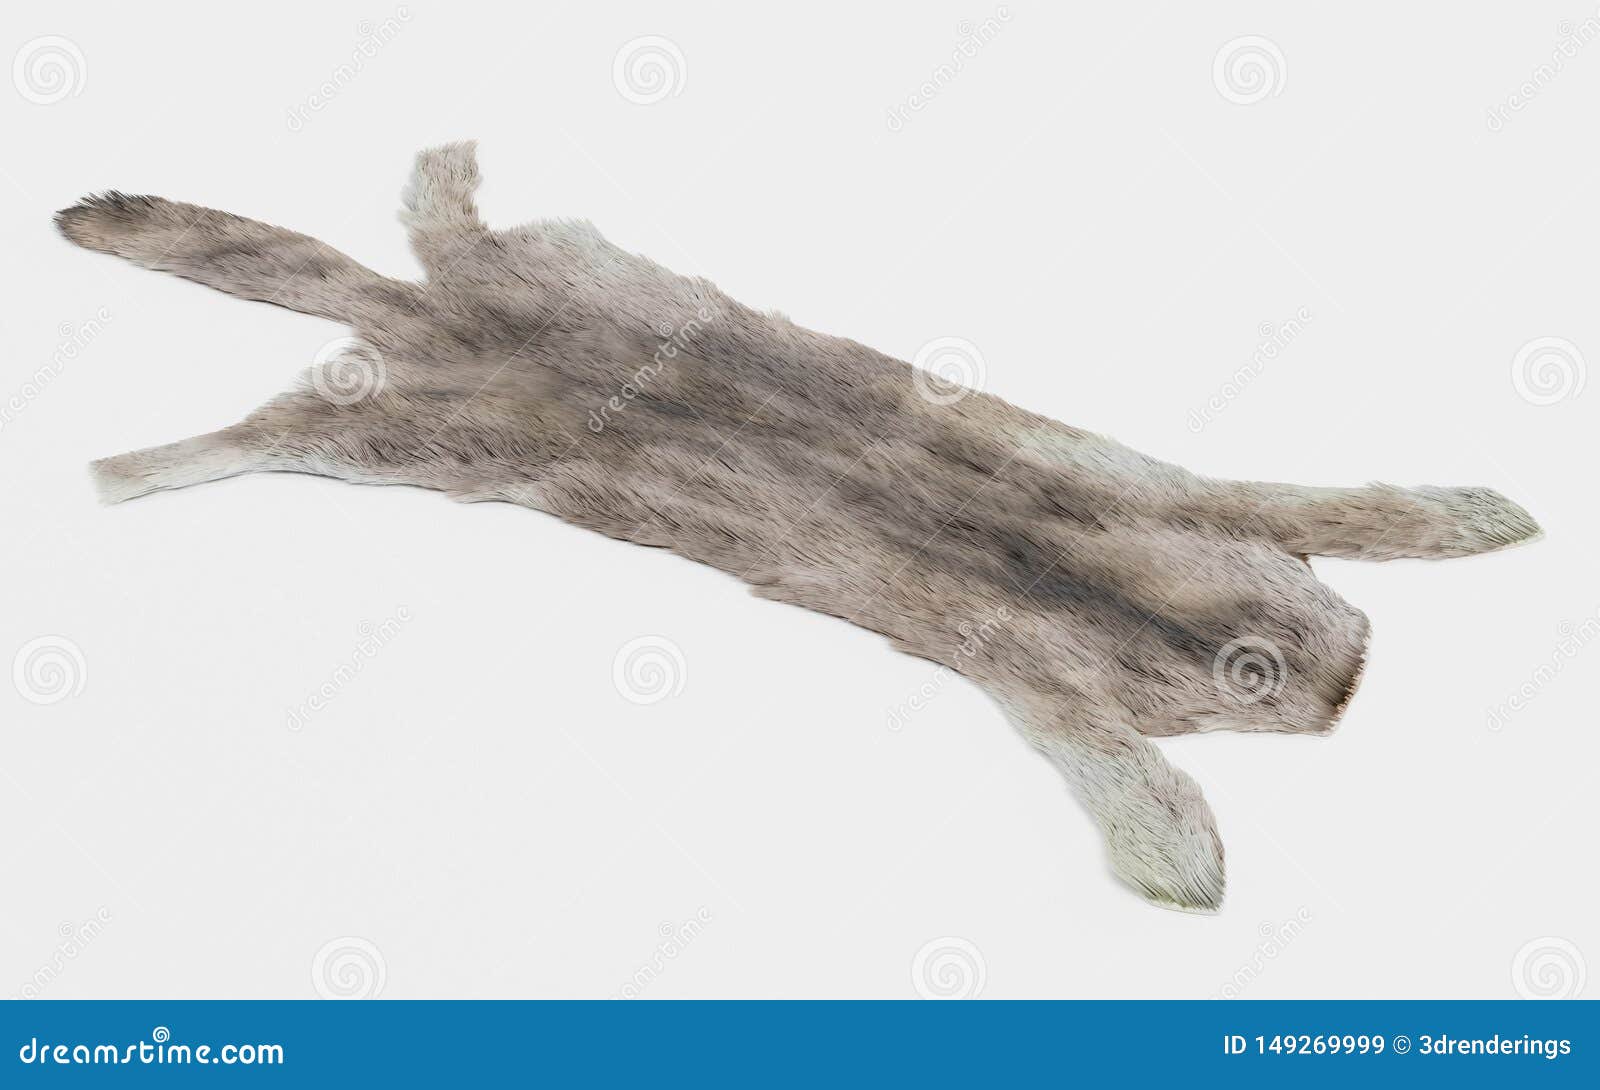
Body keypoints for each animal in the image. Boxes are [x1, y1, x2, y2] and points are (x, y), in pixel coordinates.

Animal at [57, 142, 1541, 910]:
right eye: (1274, 679)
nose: (1352, 685)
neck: (1108, 590)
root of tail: (418, 328)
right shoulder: (1043, 670)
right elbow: (1129, 762)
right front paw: (1185, 859)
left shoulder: (1177, 508)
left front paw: (1483, 514)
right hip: (405, 442)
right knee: (281, 395)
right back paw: (118, 464)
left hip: (493, 322)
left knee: (409, 240)